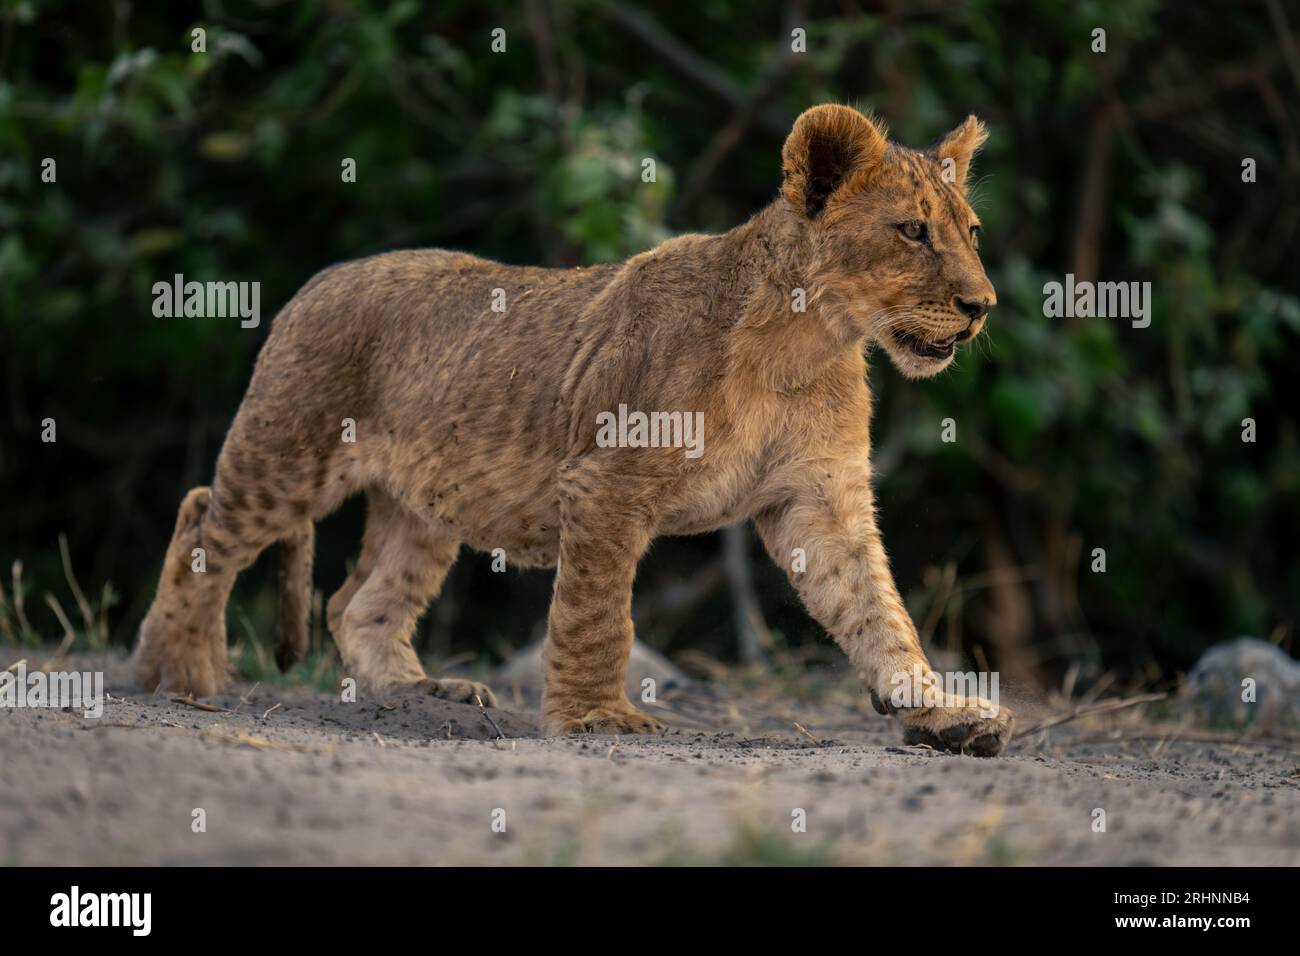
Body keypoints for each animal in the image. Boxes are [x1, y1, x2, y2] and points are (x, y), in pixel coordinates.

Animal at [134, 104, 1013, 755]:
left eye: (971, 231)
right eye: (912, 231)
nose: (982, 306)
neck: (807, 341)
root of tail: (318, 280)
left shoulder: (817, 500)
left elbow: (877, 612)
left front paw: (942, 712)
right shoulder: (607, 482)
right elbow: (597, 612)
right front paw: (596, 716)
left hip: (421, 507)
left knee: (359, 601)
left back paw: (422, 693)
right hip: (289, 452)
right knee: (201, 520)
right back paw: (176, 669)